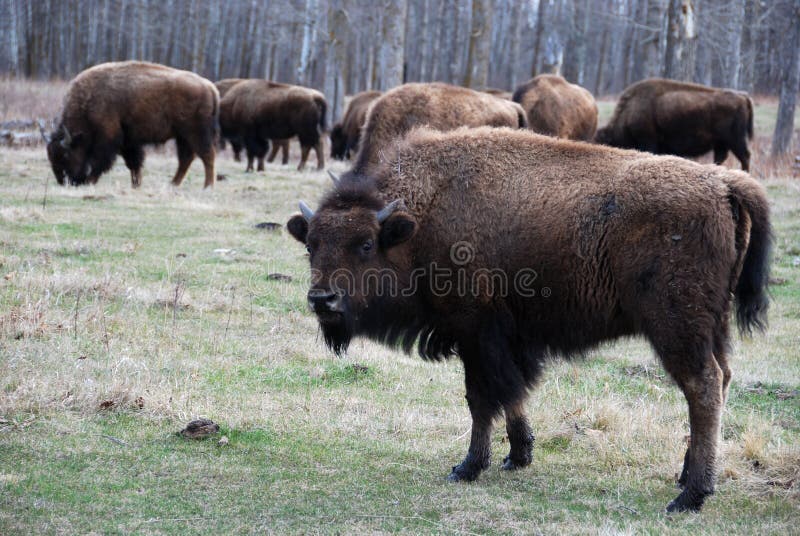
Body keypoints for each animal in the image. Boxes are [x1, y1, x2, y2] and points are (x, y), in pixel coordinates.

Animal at [45, 61, 219, 188]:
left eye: (66, 154)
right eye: (51, 156)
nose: (64, 181)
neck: (88, 101)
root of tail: (209, 87)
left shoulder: (109, 137)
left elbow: (101, 162)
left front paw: (90, 181)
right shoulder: (128, 142)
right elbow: (134, 163)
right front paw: (136, 184)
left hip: (195, 133)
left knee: (207, 155)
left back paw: (208, 186)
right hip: (182, 136)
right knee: (186, 159)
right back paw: (173, 184)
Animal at [287, 126, 771, 513]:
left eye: (365, 244)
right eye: (311, 245)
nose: (322, 299)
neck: (419, 219)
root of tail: (722, 183)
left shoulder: (476, 334)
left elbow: (482, 399)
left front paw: (468, 467)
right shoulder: (509, 339)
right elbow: (514, 393)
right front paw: (517, 456)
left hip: (677, 327)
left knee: (702, 386)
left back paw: (690, 496)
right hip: (712, 326)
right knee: (721, 380)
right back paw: (687, 477)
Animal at [595, 78, 754, 171]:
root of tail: (742, 96)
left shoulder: (648, 141)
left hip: (735, 139)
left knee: (745, 156)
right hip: (721, 142)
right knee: (721, 157)